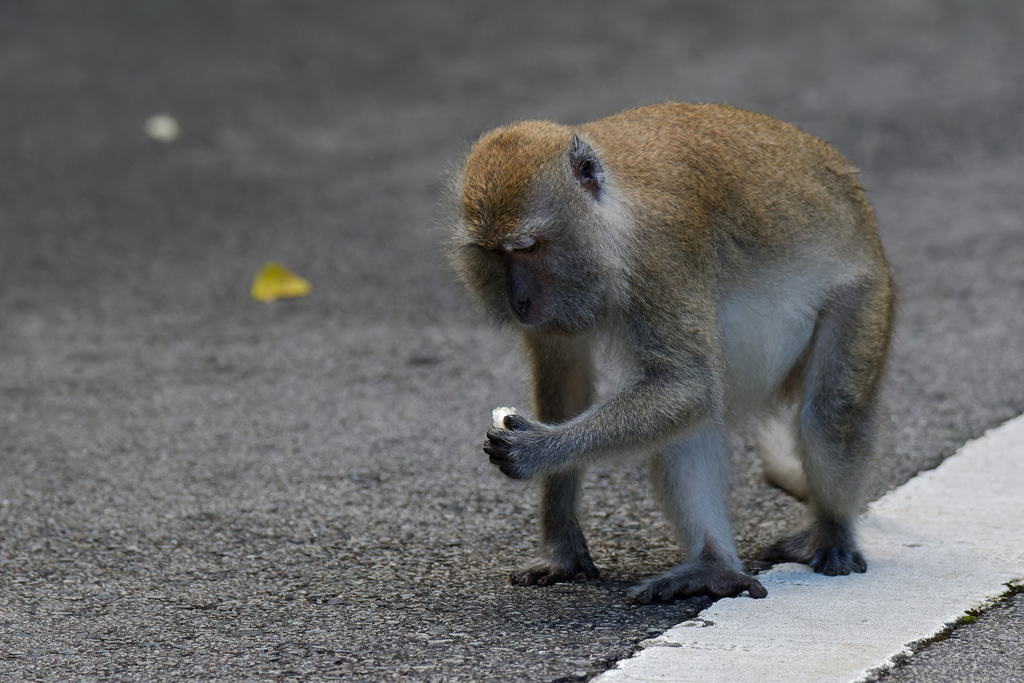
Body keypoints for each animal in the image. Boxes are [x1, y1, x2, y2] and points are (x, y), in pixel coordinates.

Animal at [447, 102, 895, 604]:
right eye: (494, 254)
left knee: (831, 412)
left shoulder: (660, 254)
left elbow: (688, 384)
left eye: (526, 247)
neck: (614, 217)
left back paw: (831, 530)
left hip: (865, 295)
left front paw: (536, 450)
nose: (518, 301)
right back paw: (715, 566)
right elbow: (569, 383)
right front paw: (561, 544)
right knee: (687, 424)